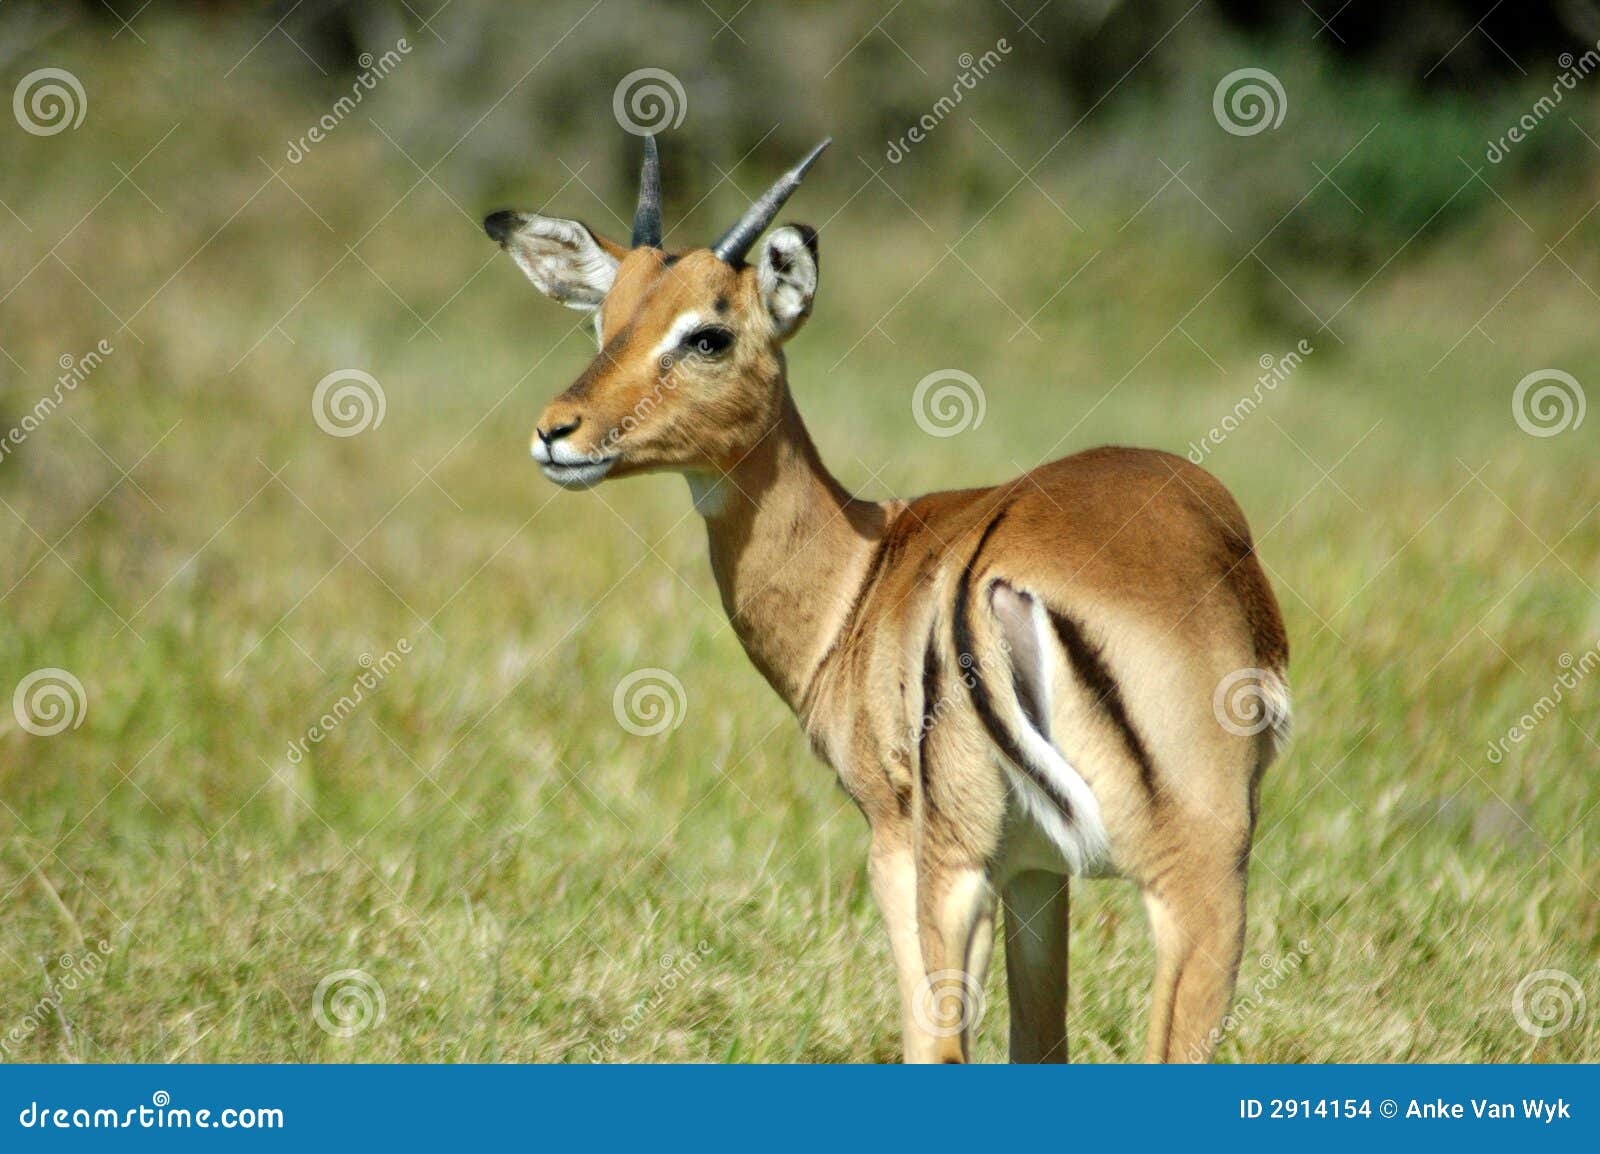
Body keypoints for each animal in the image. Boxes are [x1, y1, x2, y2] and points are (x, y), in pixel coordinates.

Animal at [484, 135, 1290, 1063]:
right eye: (605, 320)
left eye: (707, 335)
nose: (557, 431)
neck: (863, 575)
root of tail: (998, 577)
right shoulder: (1035, 870)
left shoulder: (894, 841)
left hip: (1156, 873)